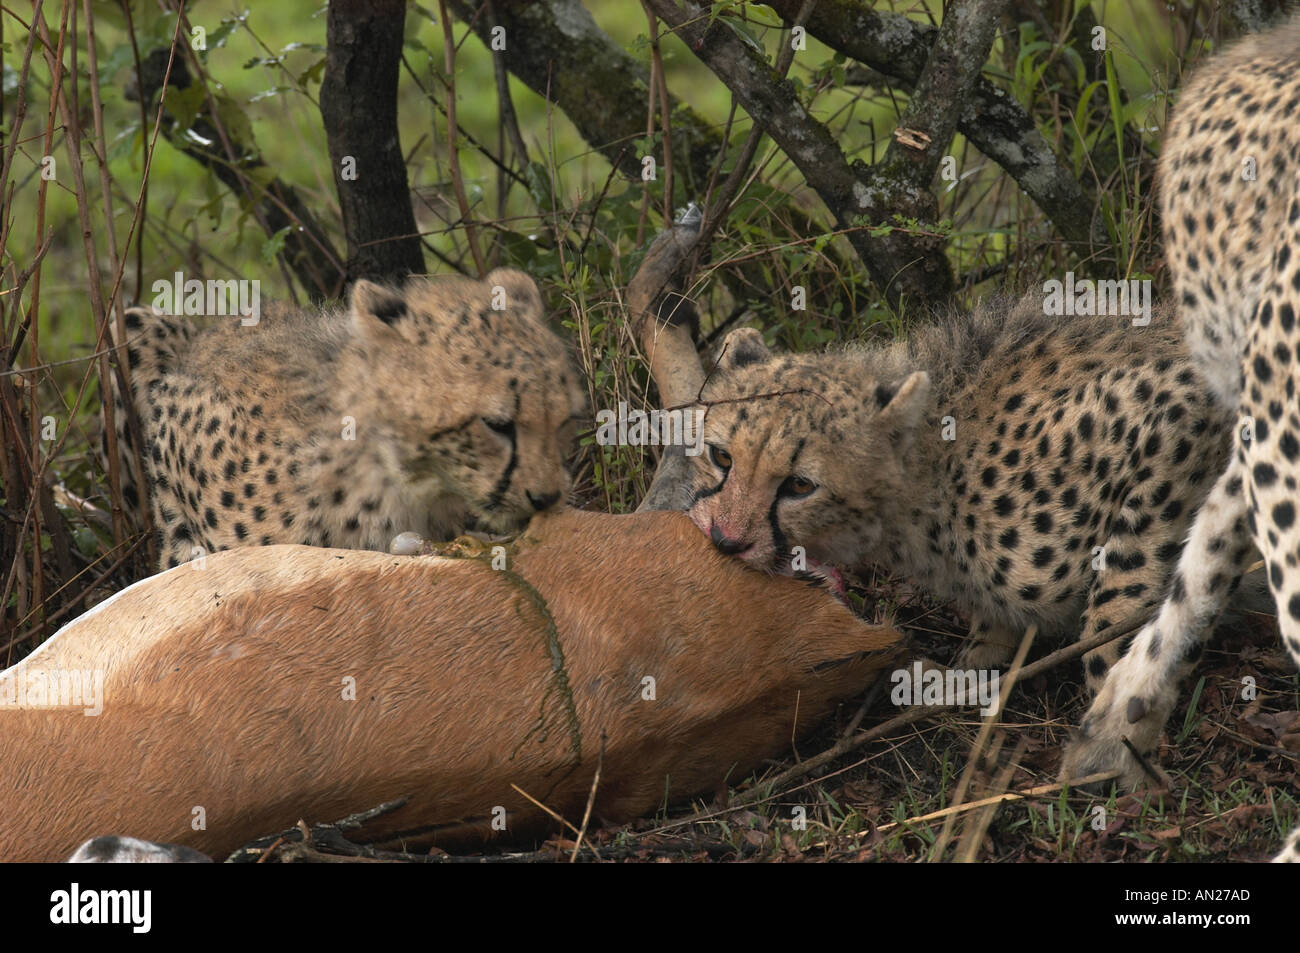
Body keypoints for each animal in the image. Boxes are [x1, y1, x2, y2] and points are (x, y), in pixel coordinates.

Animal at [678, 298, 1235, 697]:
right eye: (721, 456)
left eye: (799, 485)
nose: (726, 540)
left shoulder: (1179, 404)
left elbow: (1116, 608)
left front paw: (1114, 744)